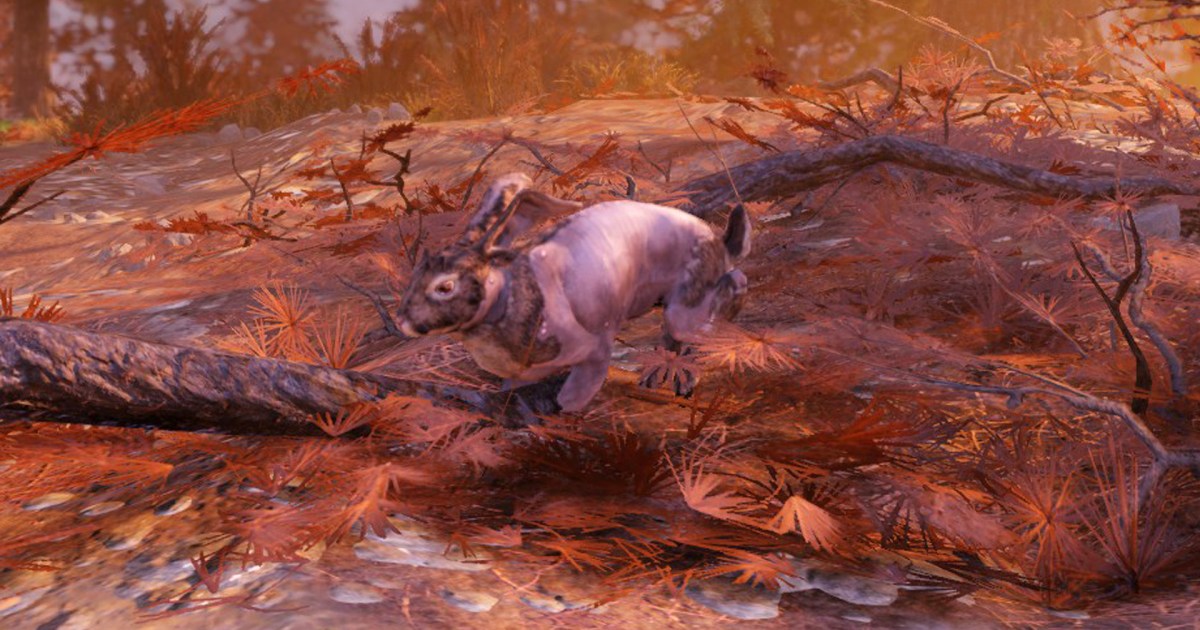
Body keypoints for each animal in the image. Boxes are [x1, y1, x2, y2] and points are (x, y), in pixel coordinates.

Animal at [396, 173, 751, 412]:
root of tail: (719, 243)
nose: (401, 321)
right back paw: (652, 376)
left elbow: (577, 390)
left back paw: (683, 378)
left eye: (445, 286)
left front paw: (566, 407)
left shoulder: (594, 348)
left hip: (687, 305)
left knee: (725, 294)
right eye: (416, 273)